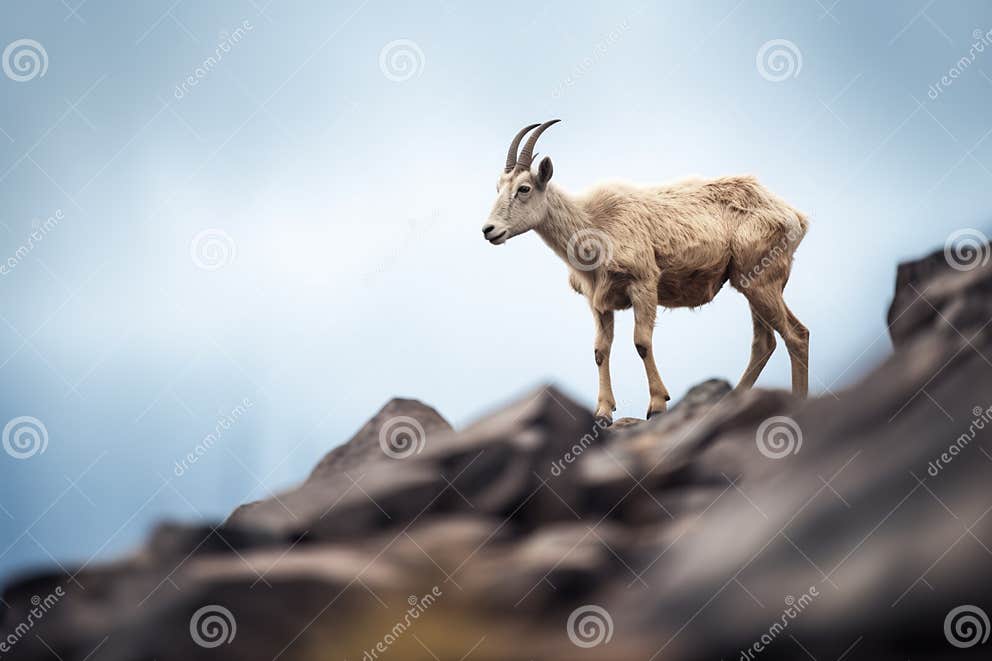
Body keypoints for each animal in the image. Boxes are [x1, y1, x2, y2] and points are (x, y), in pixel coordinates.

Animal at [482, 120, 810, 422]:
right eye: (498, 188)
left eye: (524, 188)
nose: (489, 230)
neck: (594, 223)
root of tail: (794, 216)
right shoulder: (598, 300)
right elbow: (600, 350)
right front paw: (603, 412)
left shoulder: (643, 284)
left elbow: (641, 342)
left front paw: (657, 404)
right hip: (751, 282)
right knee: (764, 342)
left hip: (761, 281)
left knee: (796, 335)